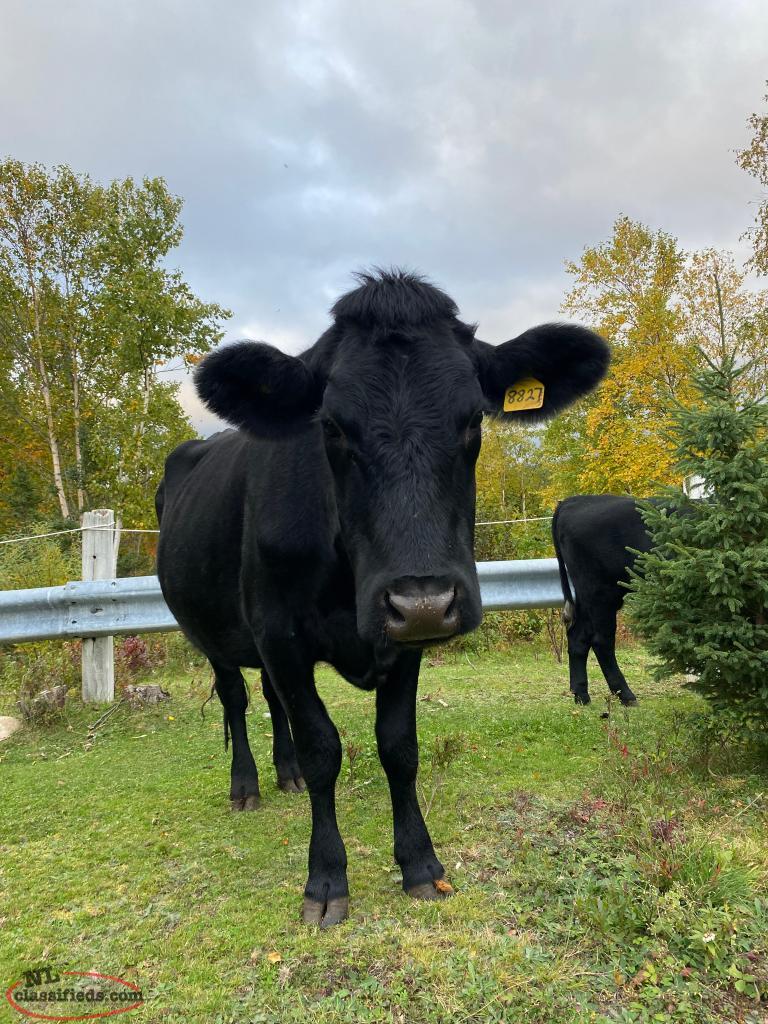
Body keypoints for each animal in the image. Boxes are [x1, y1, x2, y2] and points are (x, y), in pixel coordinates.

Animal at [156, 269, 609, 927]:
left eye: (473, 421)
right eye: (331, 426)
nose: (422, 600)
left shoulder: (404, 639)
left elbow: (399, 746)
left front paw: (420, 863)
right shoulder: (279, 632)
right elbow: (323, 748)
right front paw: (325, 879)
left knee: (268, 699)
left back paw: (285, 773)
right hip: (211, 631)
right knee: (237, 697)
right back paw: (247, 785)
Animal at [551, 494, 653, 707]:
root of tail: (572, 501)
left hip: (586, 594)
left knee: (578, 636)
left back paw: (581, 694)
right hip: (601, 592)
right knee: (601, 641)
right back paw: (626, 695)